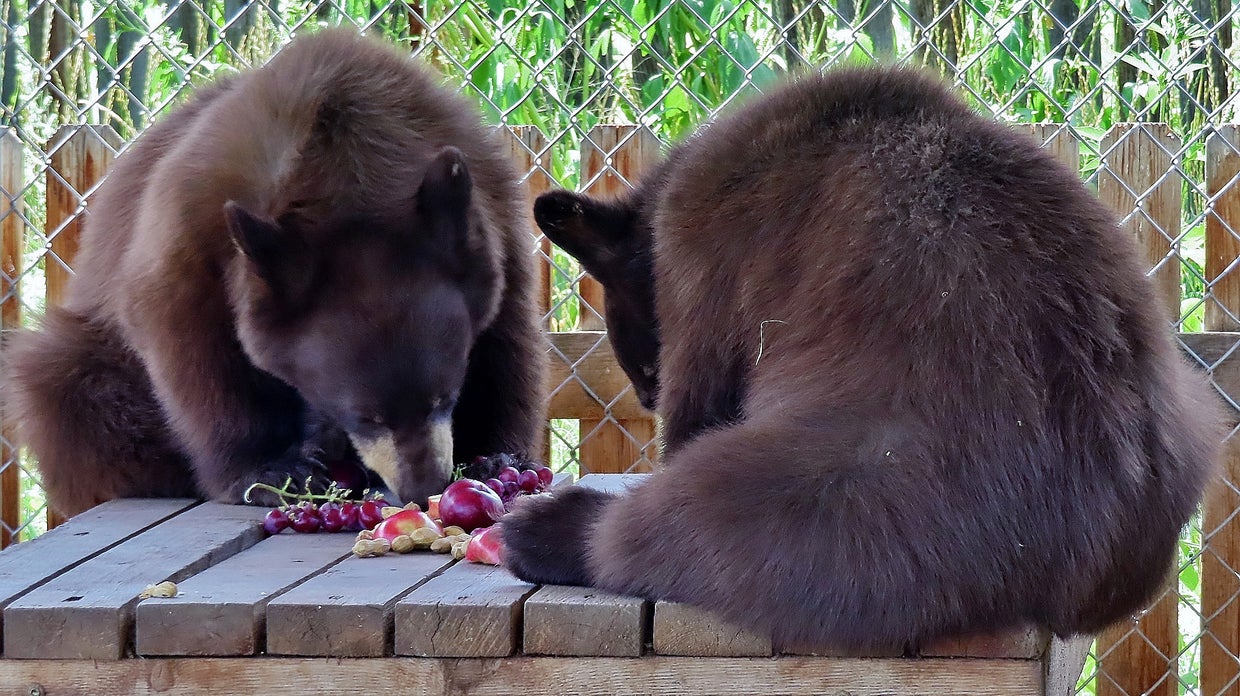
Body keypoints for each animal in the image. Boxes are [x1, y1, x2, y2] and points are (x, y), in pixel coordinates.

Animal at [3, 29, 545, 518]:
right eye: (365, 415)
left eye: (444, 398)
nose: (422, 487)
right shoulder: (189, 229)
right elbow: (189, 346)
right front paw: (271, 472)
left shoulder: (492, 208)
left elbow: (506, 340)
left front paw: (494, 457)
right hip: (81, 368)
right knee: (68, 392)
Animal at [501, 66, 1221, 652]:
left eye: (648, 368)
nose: (647, 394)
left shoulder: (703, 278)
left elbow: (699, 396)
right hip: (1190, 415)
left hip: (861, 494)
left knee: (690, 521)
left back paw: (550, 529)